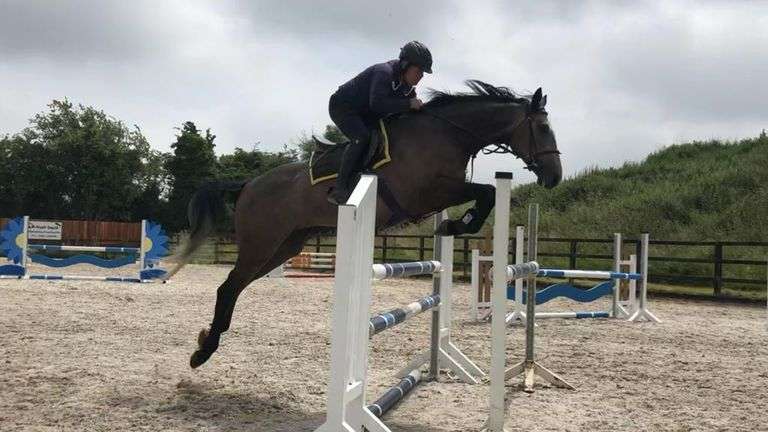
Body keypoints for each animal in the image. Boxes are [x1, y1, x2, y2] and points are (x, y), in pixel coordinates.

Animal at [169, 80, 563, 368]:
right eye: (543, 128)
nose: (555, 177)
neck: (446, 133)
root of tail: (249, 184)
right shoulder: (429, 192)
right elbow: (486, 192)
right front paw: (456, 225)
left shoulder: (439, 194)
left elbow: (486, 195)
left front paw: (454, 225)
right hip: (261, 243)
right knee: (227, 287)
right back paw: (203, 352)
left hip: (285, 245)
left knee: (236, 287)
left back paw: (206, 342)